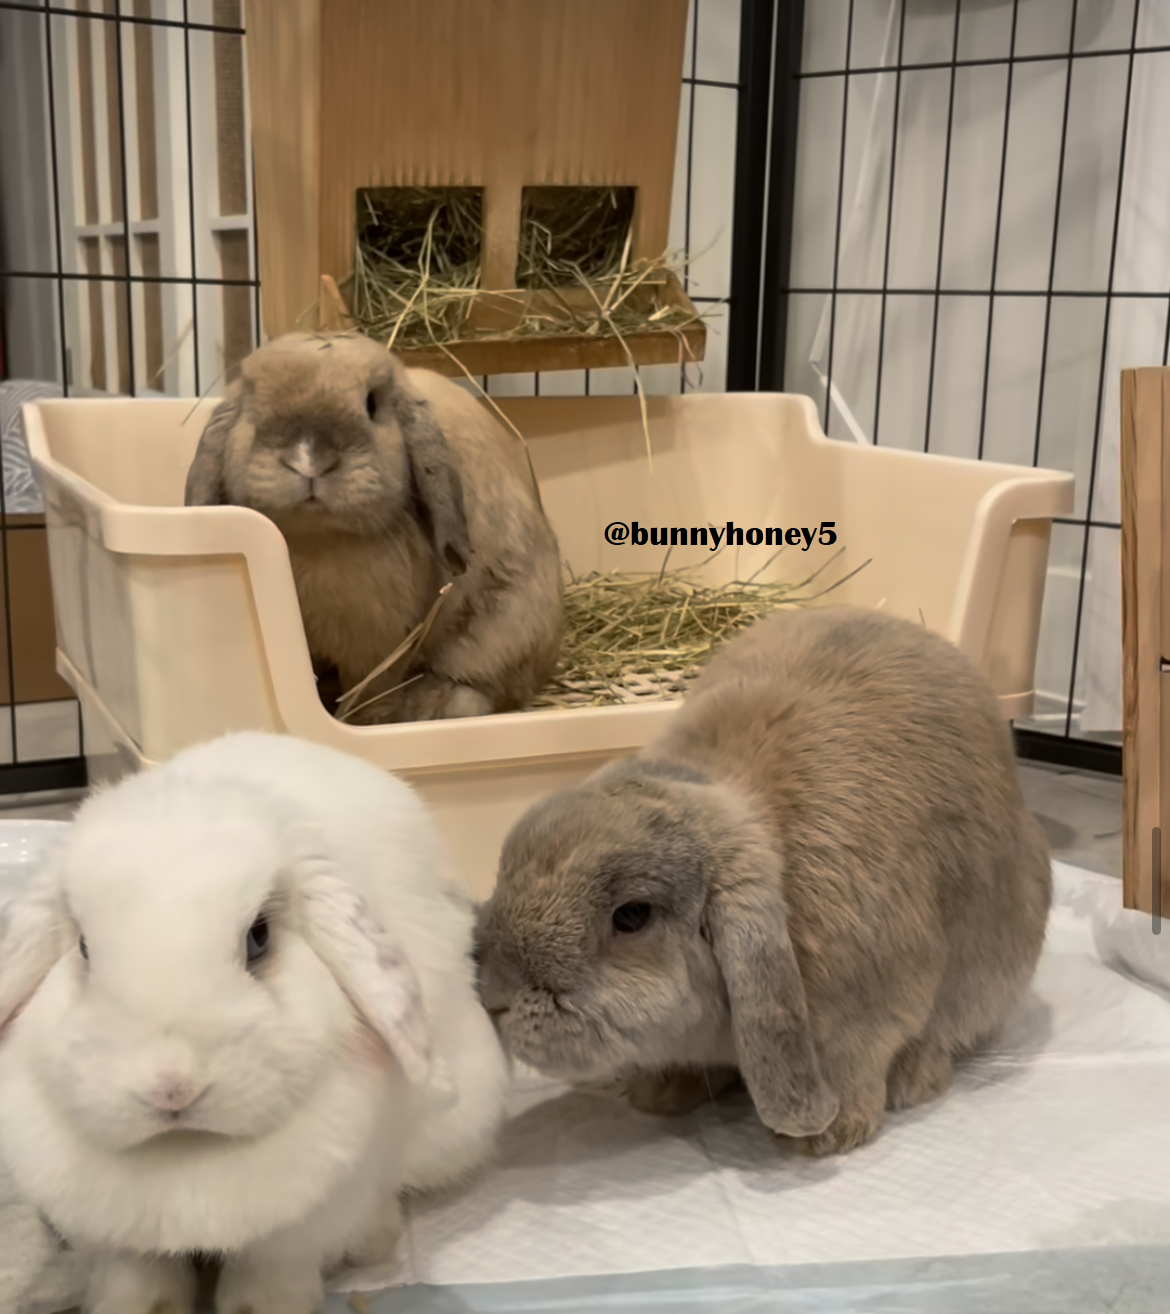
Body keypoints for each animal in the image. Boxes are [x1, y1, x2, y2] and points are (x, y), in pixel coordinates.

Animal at [0, 730, 511, 1314]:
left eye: (259, 937)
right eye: (84, 947)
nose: (172, 1088)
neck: (186, 1159)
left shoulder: (301, 1226)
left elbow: (271, 1274)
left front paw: (261, 1306)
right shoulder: (114, 1239)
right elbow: (137, 1277)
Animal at [184, 331, 564, 725]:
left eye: (372, 404)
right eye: (253, 404)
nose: (309, 460)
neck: (317, 539)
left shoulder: (376, 647)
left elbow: (368, 692)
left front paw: (361, 721)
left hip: (503, 633)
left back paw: (434, 704)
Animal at [475, 605, 1053, 1157]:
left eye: (632, 916)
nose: (495, 1000)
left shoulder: (868, 1018)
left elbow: (856, 1064)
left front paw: (825, 1137)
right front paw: (658, 1094)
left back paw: (915, 1077)